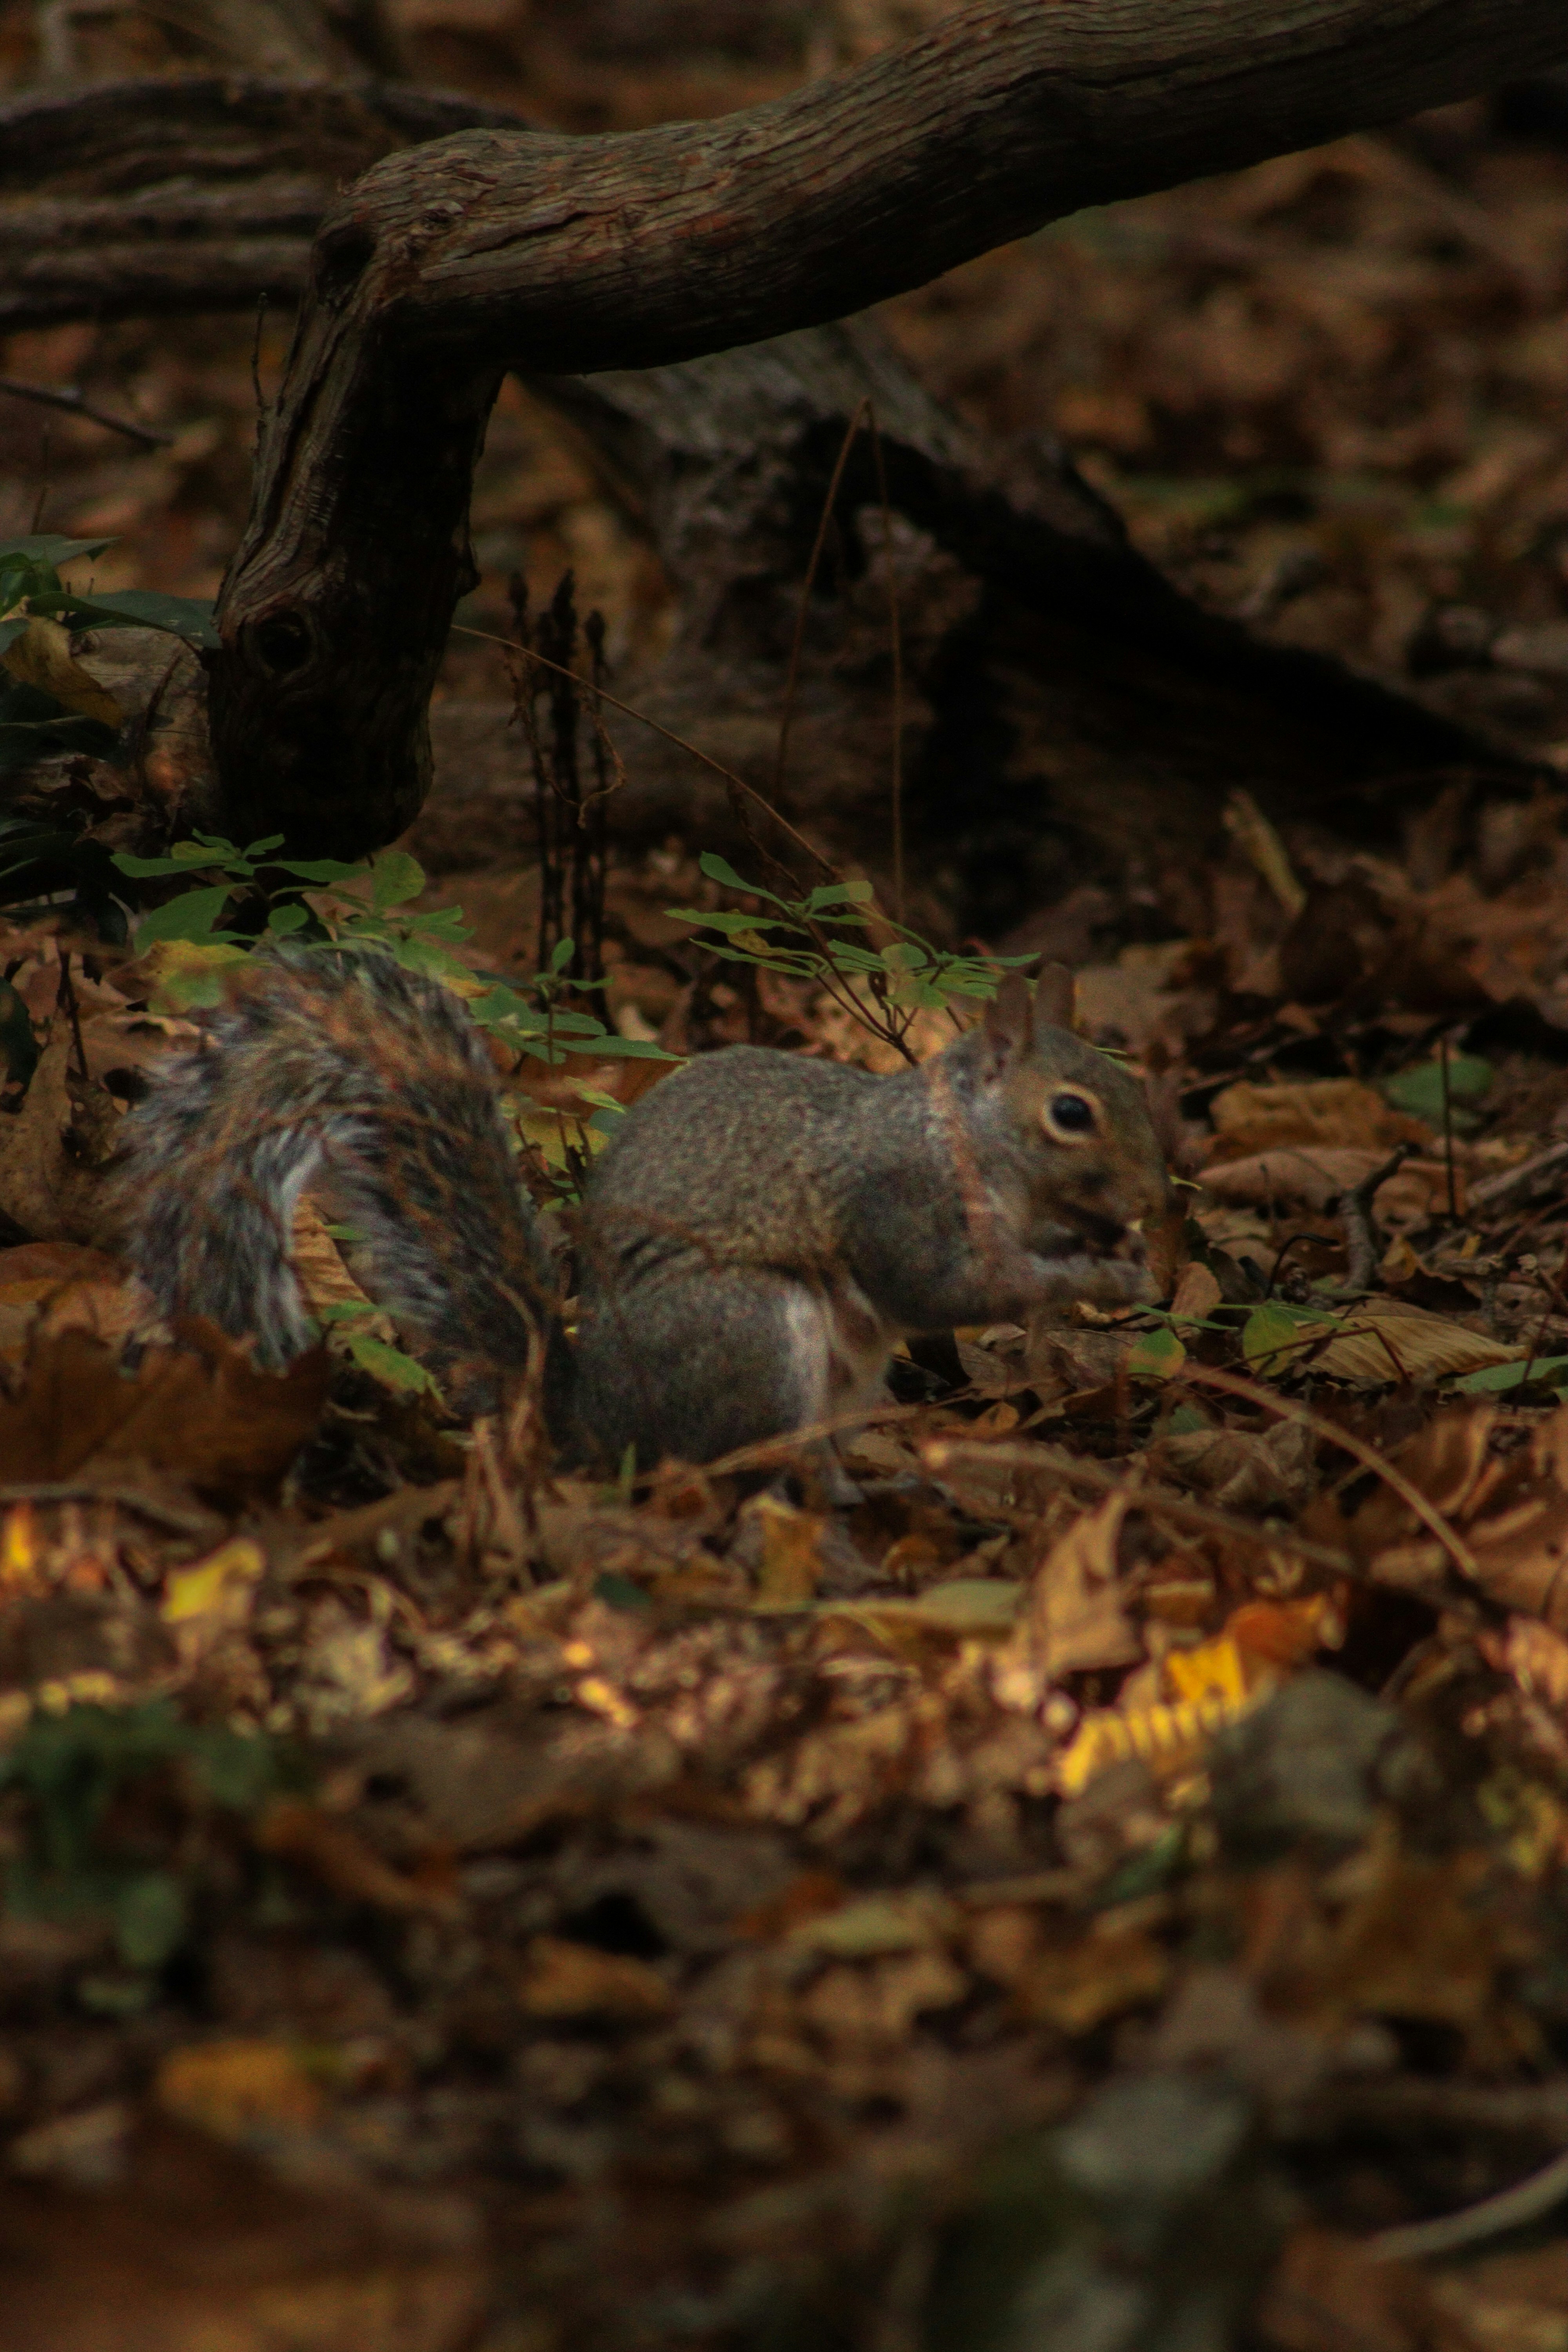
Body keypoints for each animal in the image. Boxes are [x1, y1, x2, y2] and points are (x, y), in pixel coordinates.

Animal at [119, 948, 1169, 1470]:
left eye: (1127, 1083)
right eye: (1070, 1114)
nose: (1153, 1198)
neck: (965, 1138)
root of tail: (596, 1427)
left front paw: (1118, 1251)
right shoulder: (896, 1200)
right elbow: (950, 1288)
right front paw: (1096, 1272)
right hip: (750, 1327)